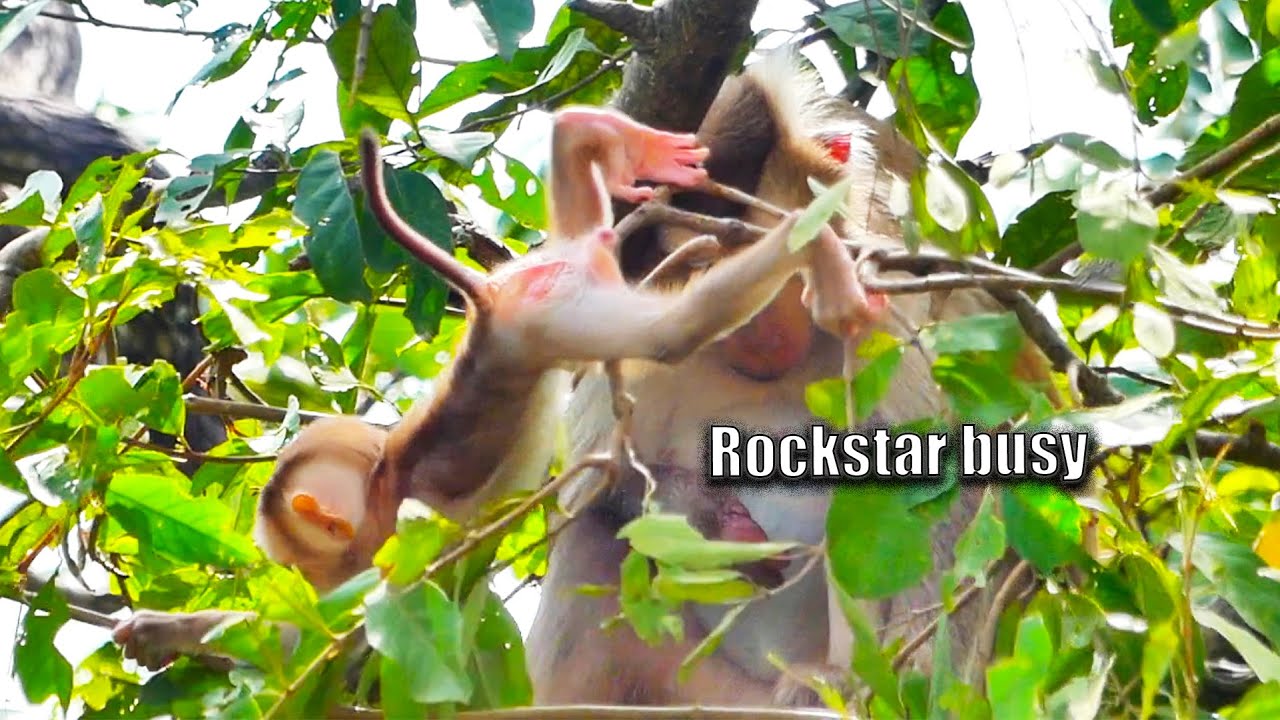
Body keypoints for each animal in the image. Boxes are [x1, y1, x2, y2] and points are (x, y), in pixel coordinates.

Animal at [113, 100, 886, 673]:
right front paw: (157, 630)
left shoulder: (390, 554)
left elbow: (319, 640)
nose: (303, 571)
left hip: (550, 319)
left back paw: (812, 247)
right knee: (584, 176)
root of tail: (490, 301)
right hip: (569, 257)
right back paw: (622, 146)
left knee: (675, 332)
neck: (383, 479)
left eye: (300, 555)